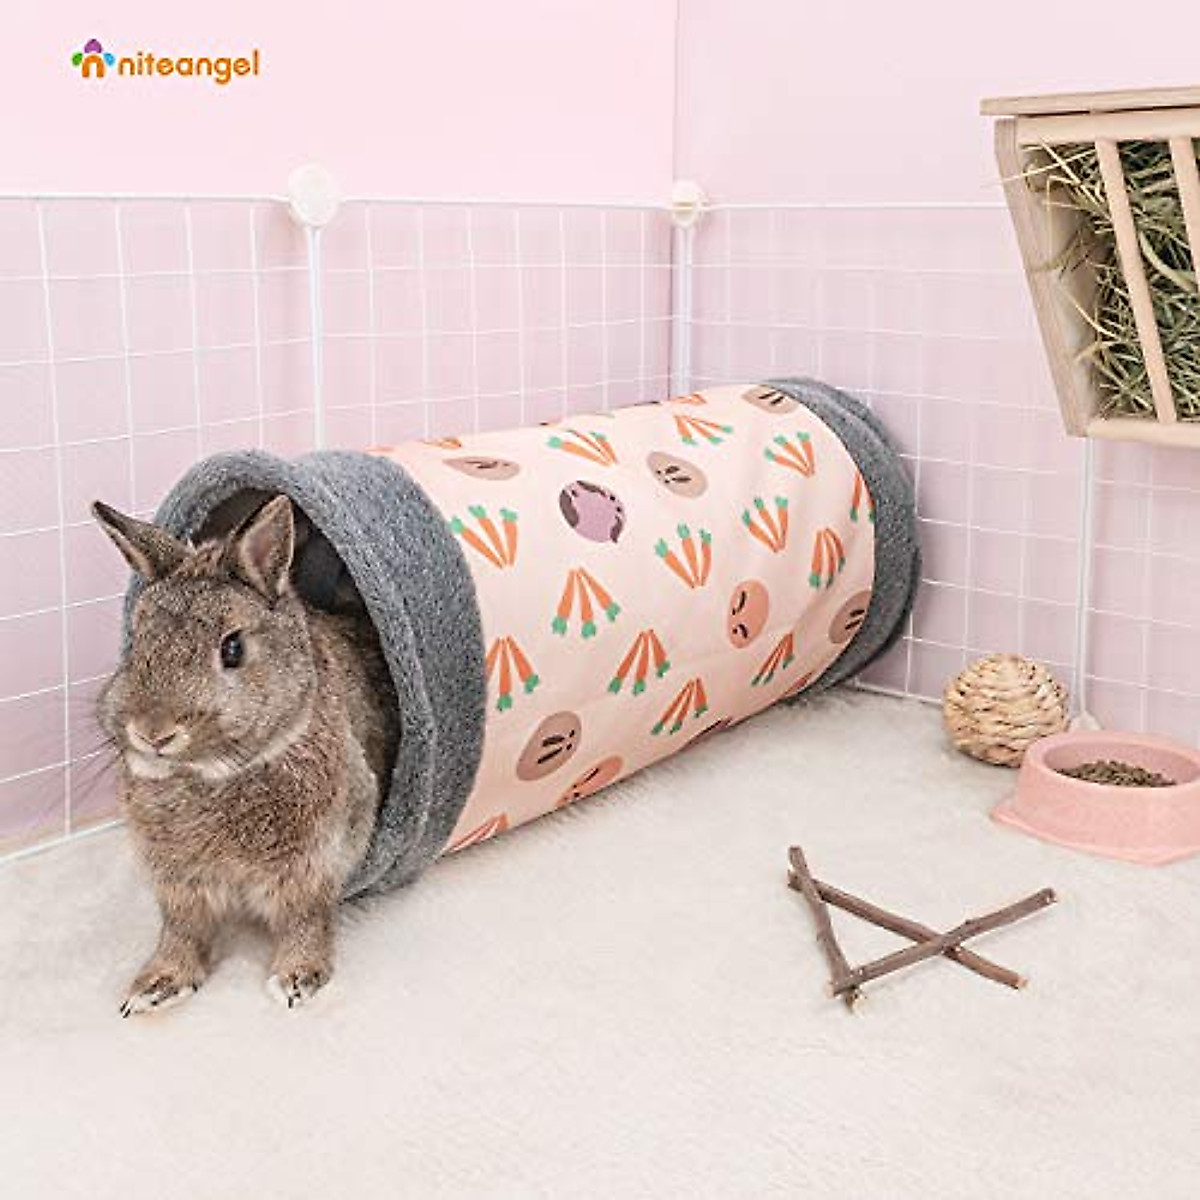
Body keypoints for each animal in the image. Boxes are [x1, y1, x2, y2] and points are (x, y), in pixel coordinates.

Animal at [92, 494, 398, 1015]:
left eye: (232, 649)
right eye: (137, 643)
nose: (153, 733)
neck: (213, 777)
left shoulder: (316, 862)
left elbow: (304, 919)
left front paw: (296, 981)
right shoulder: (179, 883)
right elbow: (182, 930)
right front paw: (155, 986)